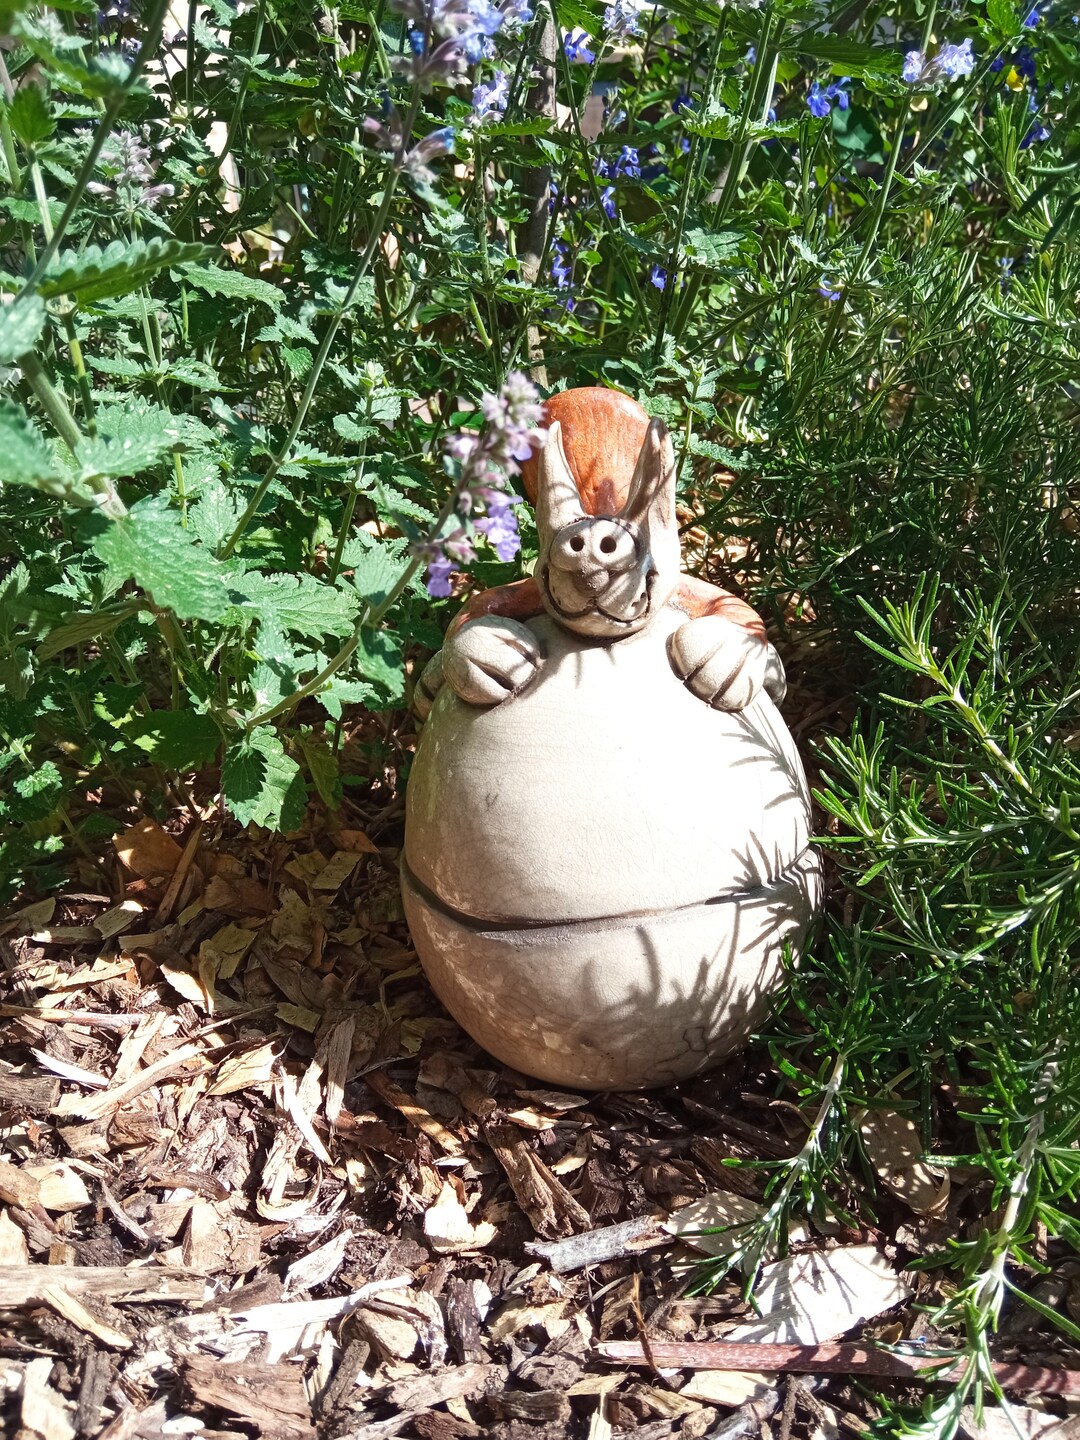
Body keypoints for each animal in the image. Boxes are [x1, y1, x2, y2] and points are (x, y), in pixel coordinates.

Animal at [414, 385, 786, 717]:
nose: (589, 550)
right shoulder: (532, 590)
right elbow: (472, 611)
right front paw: (491, 650)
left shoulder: (681, 587)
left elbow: (740, 610)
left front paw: (725, 656)